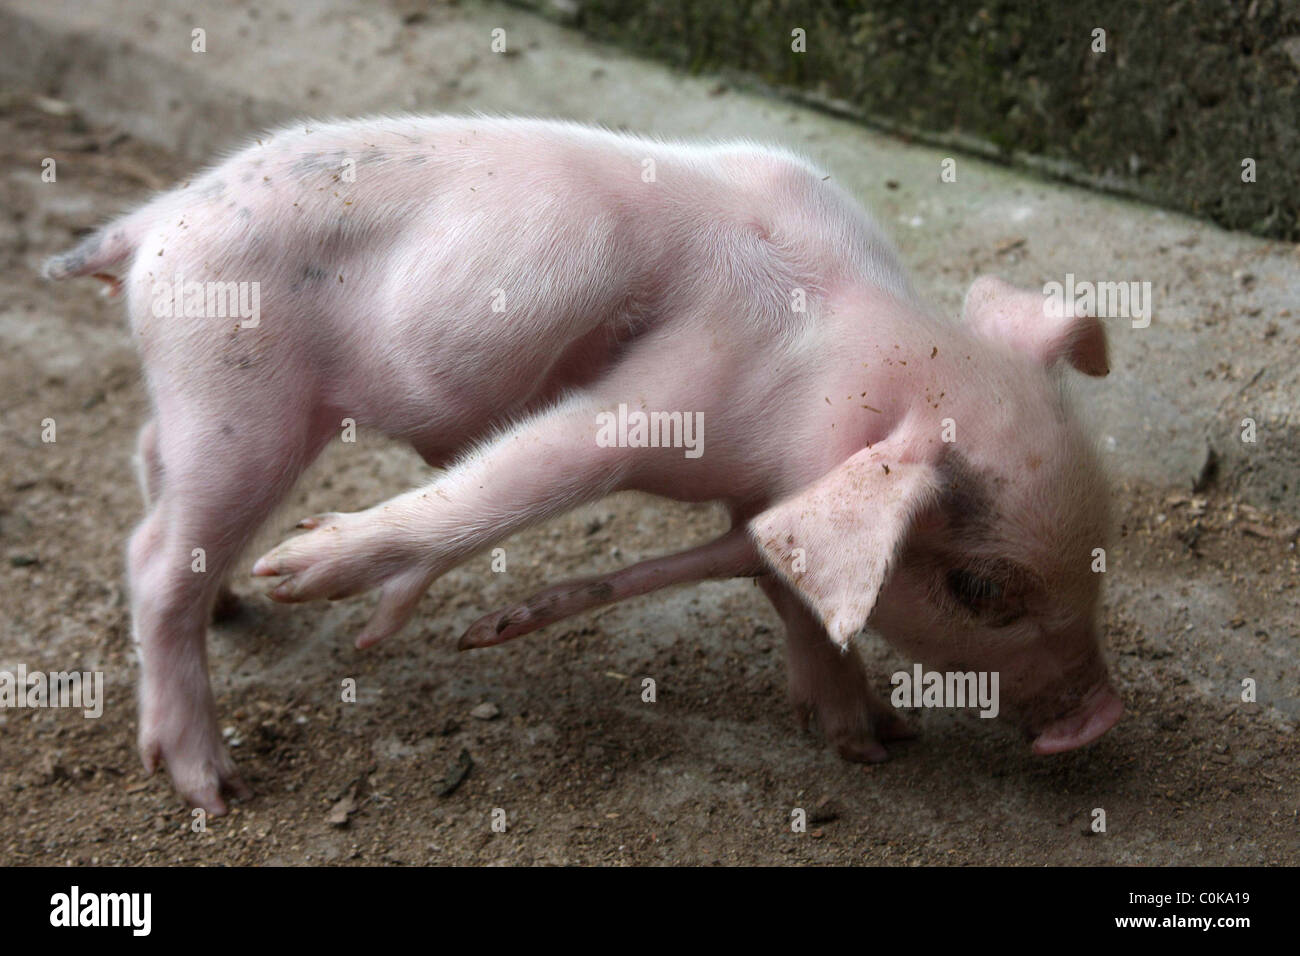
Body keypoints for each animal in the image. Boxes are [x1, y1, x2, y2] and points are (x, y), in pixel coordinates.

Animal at [44, 115, 1122, 813]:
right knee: (152, 556)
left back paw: (235, 605)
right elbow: (521, 471)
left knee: (153, 470)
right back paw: (216, 784)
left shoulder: (769, 492)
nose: (1100, 715)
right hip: (239, 394)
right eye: (981, 587)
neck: (829, 357)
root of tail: (148, 225)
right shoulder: (667, 391)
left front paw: (874, 741)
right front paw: (315, 578)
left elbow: (793, 589)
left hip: (215, 402)